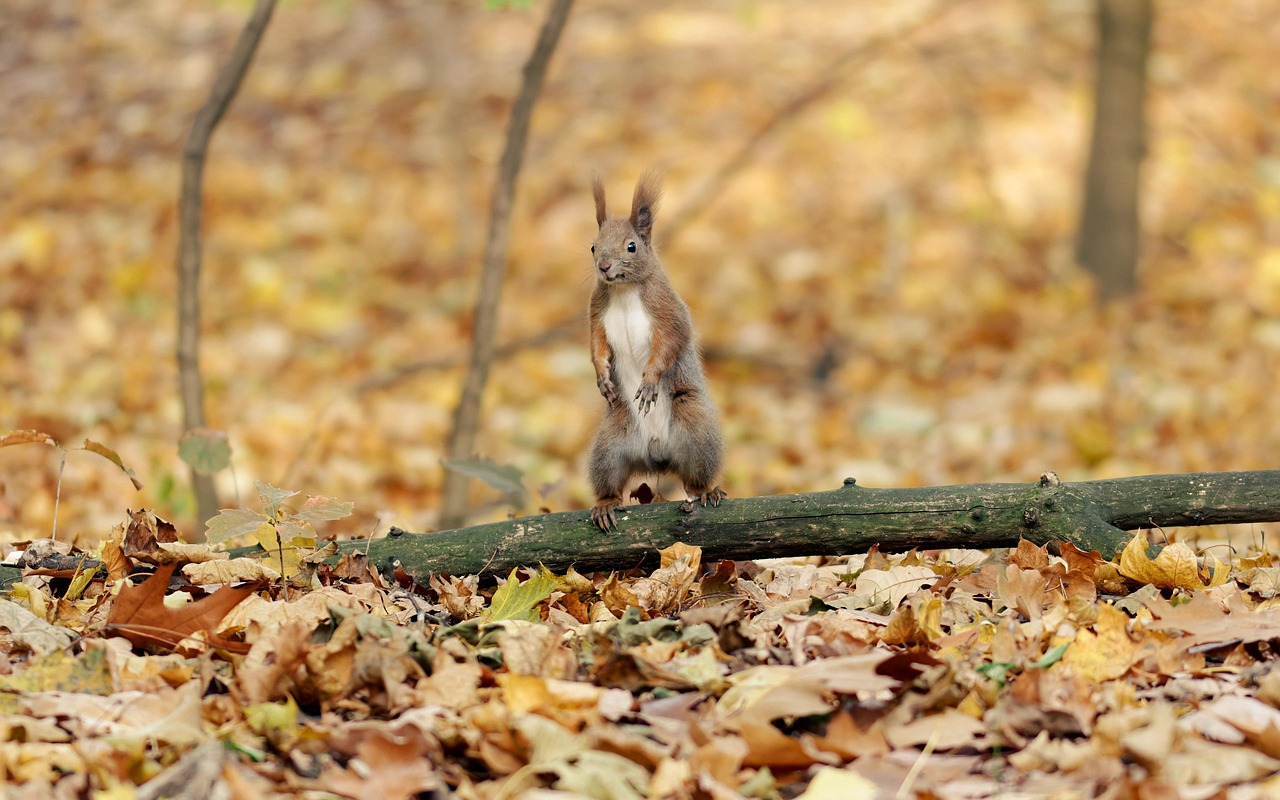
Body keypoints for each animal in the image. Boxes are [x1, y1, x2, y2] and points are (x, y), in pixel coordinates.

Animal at [586, 172, 726, 530]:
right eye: (592, 245)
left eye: (631, 246)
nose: (604, 266)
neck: (624, 291)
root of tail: (657, 455)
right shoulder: (596, 313)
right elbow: (596, 345)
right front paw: (602, 378)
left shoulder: (667, 311)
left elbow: (669, 344)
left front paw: (649, 382)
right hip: (610, 447)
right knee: (610, 481)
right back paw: (605, 504)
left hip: (695, 432)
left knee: (694, 479)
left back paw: (707, 491)